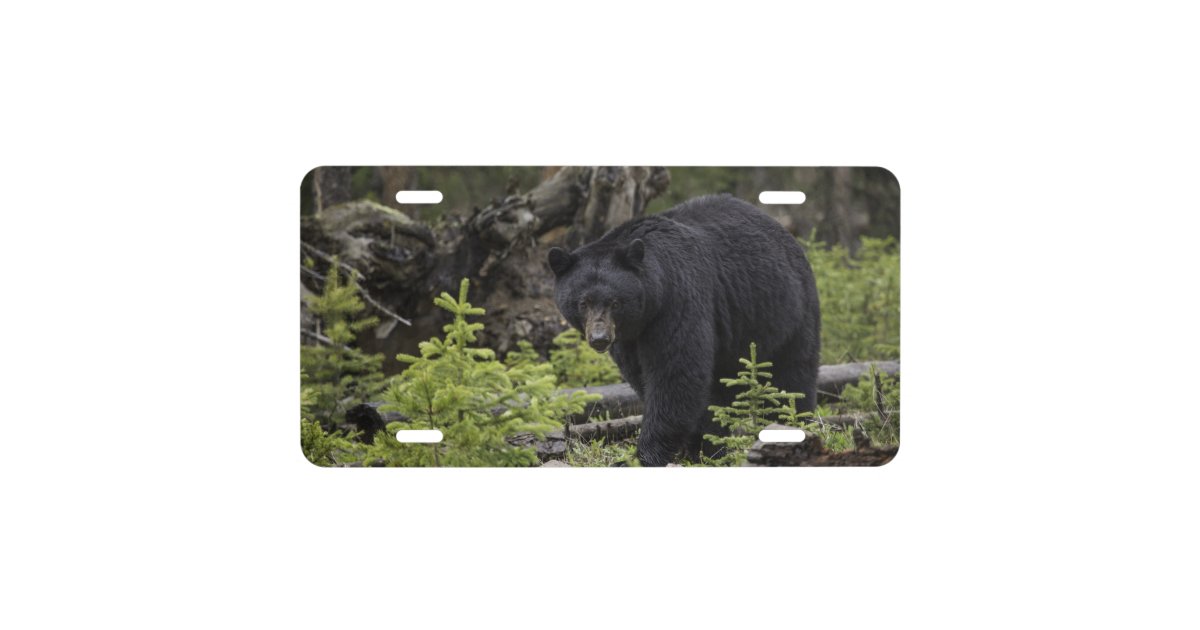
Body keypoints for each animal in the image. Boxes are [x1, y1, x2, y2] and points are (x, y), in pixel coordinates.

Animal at [548, 194, 821, 466]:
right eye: (583, 302)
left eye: (615, 302)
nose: (600, 339)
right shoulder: (629, 337)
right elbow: (642, 375)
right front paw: (694, 444)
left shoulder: (678, 301)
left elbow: (675, 373)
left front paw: (648, 453)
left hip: (787, 313)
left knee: (792, 375)